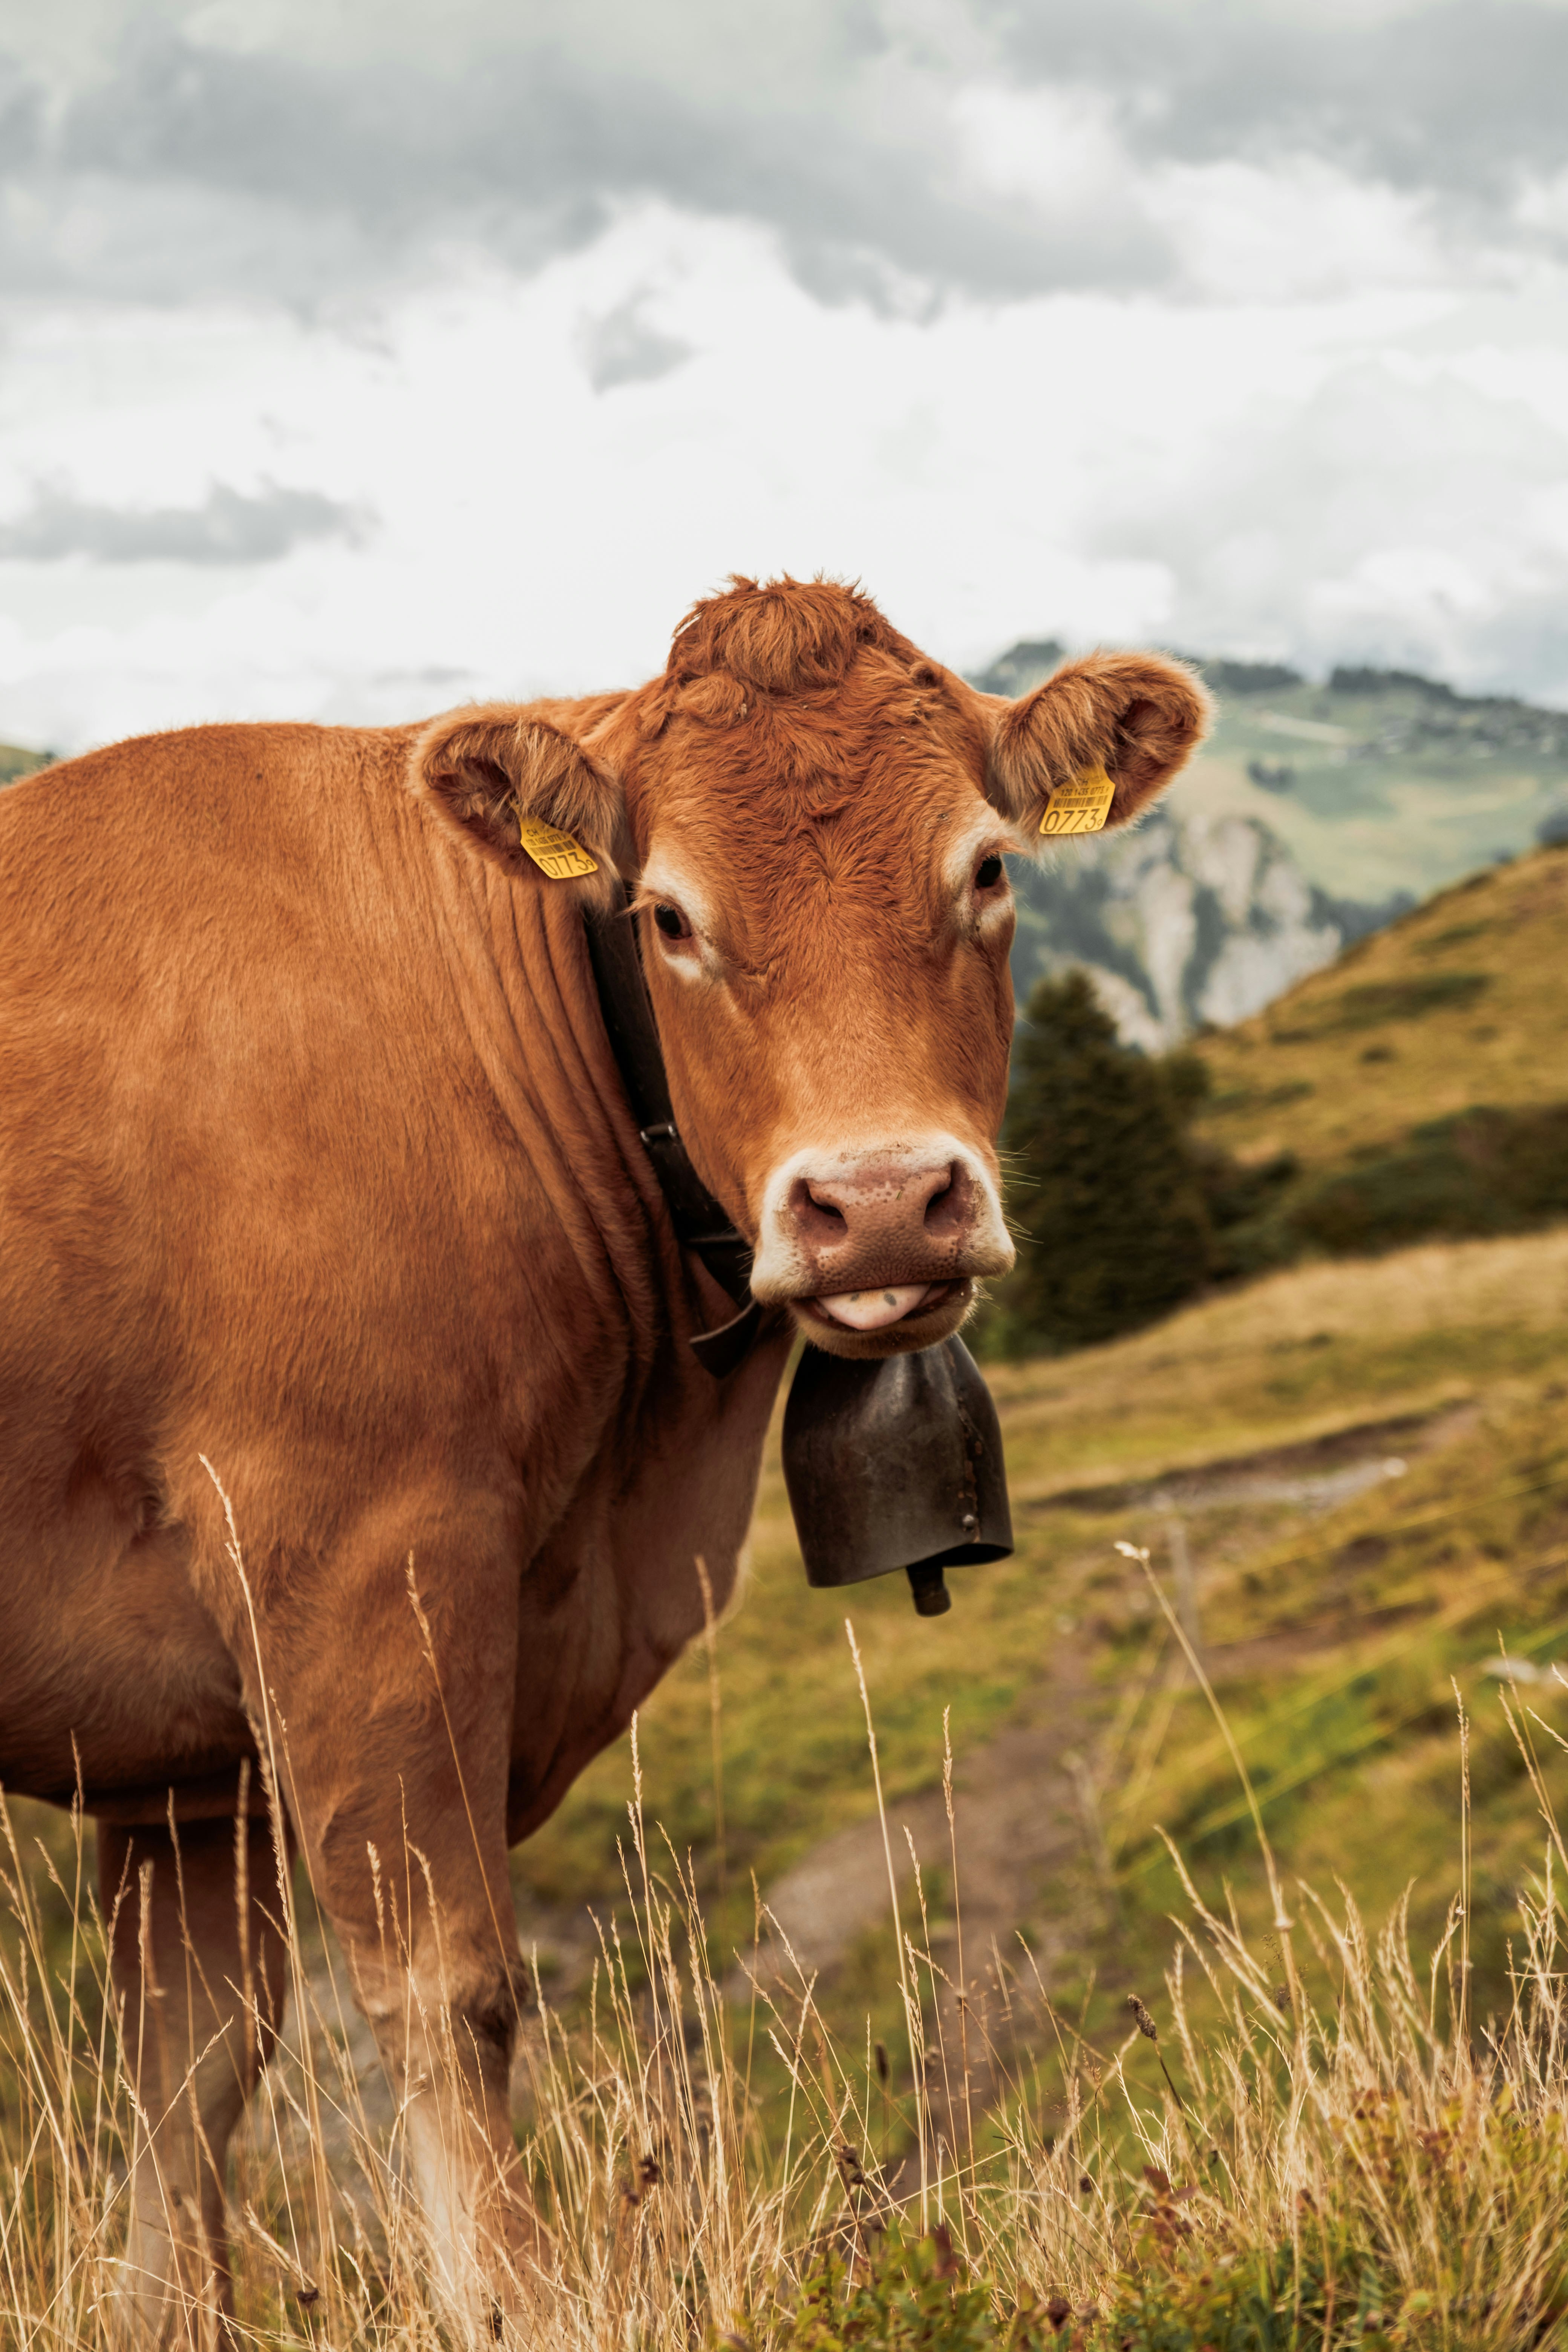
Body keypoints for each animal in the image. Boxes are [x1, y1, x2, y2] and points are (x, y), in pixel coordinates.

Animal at [0, 576, 1207, 2341]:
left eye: (987, 870)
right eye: (671, 919)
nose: (884, 1204)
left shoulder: (182, 1755)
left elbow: (190, 2074)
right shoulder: (360, 1564)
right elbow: (446, 1993)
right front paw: (507, 2301)